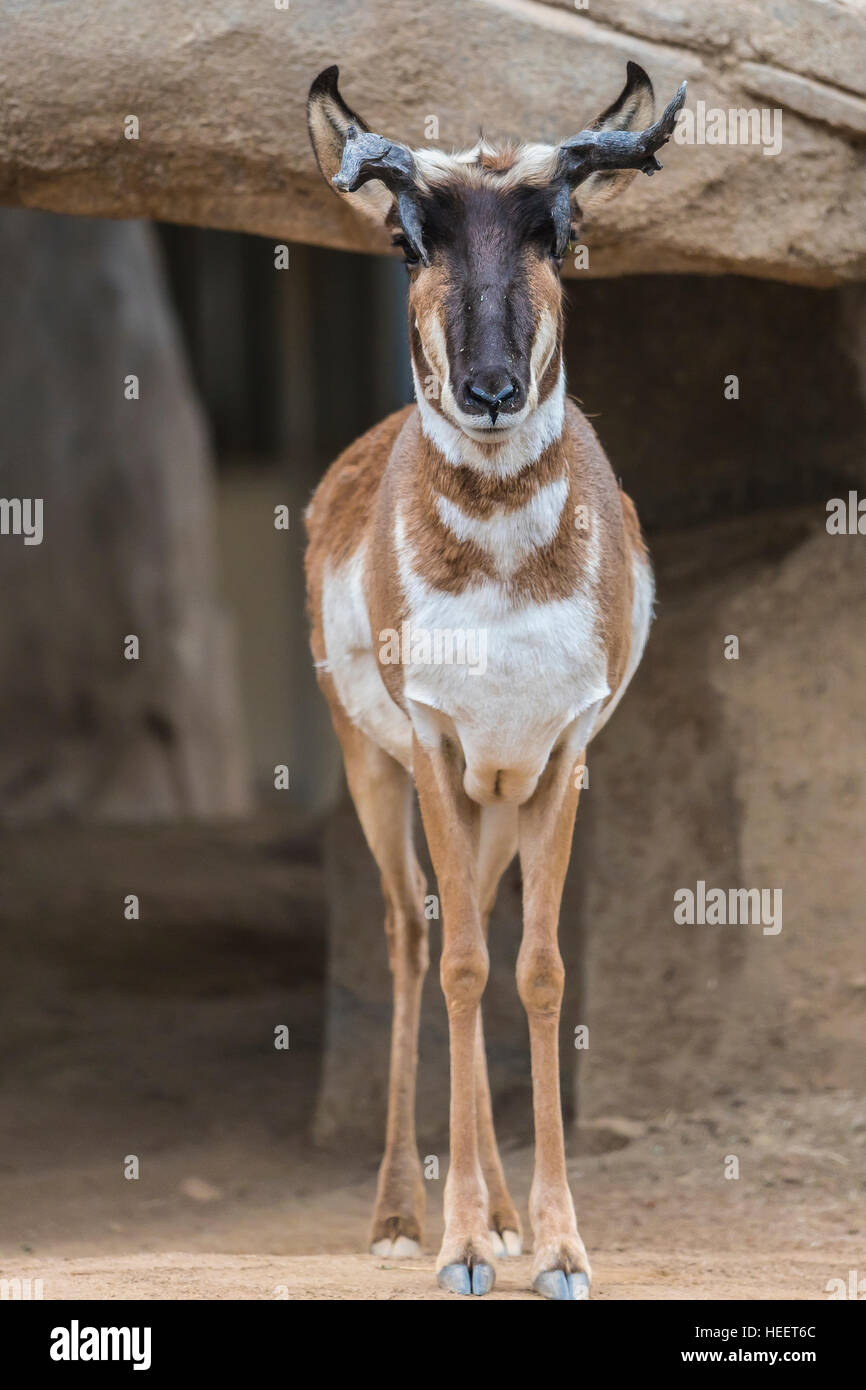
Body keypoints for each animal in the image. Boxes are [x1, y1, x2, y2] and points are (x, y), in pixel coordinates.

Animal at [305, 62, 686, 1299]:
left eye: (556, 229)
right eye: (404, 235)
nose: (487, 387)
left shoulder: (558, 755)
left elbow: (539, 973)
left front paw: (557, 1244)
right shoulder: (433, 745)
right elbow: (467, 964)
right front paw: (463, 1243)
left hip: (497, 803)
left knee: (472, 928)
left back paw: (506, 1215)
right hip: (383, 774)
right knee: (413, 937)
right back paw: (400, 1217)